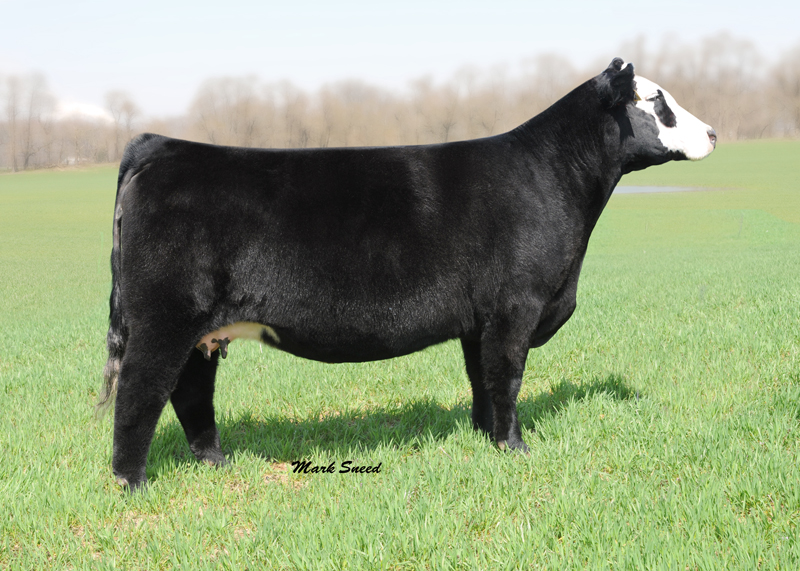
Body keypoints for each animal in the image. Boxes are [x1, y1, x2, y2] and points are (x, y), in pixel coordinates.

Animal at [99, 59, 716, 490]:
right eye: (658, 101)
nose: (712, 133)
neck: (552, 178)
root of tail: (160, 145)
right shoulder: (515, 307)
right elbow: (509, 377)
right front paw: (515, 449)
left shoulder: (479, 317)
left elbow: (482, 380)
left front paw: (484, 439)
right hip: (164, 319)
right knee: (141, 391)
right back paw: (132, 483)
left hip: (202, 329)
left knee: (190, 392)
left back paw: (216, 462)